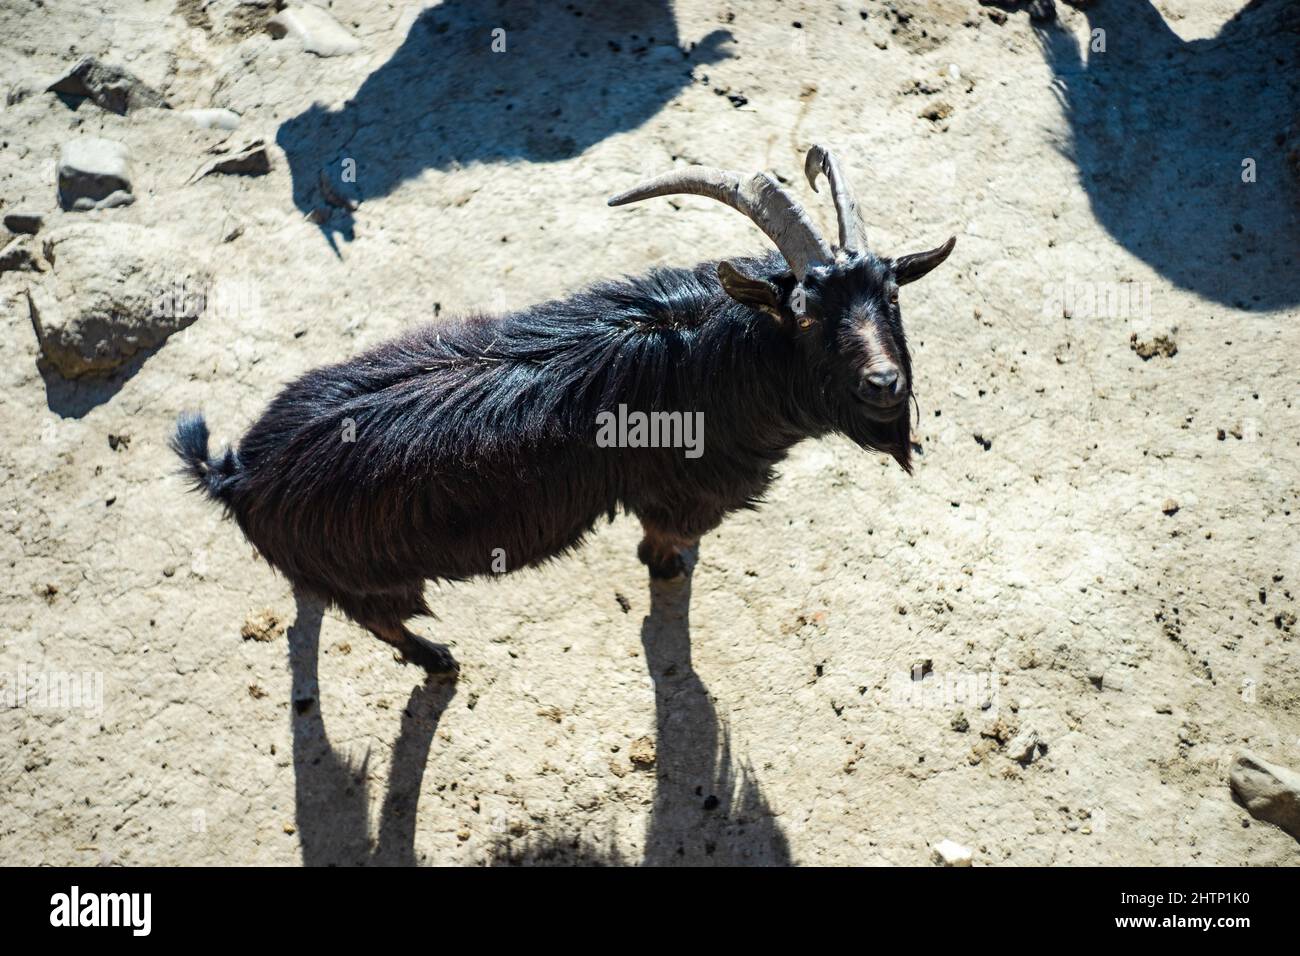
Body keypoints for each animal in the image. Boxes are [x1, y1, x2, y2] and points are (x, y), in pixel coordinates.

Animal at [172, 146, 955, 674]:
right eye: (805, 315)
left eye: (890, 295)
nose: (885, 383)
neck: (707, 361)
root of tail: (236, 471)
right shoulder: (678, 494)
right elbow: (663, 544)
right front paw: (668, 571)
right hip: (373, 578)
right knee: (380, 621)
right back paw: (437, 660)